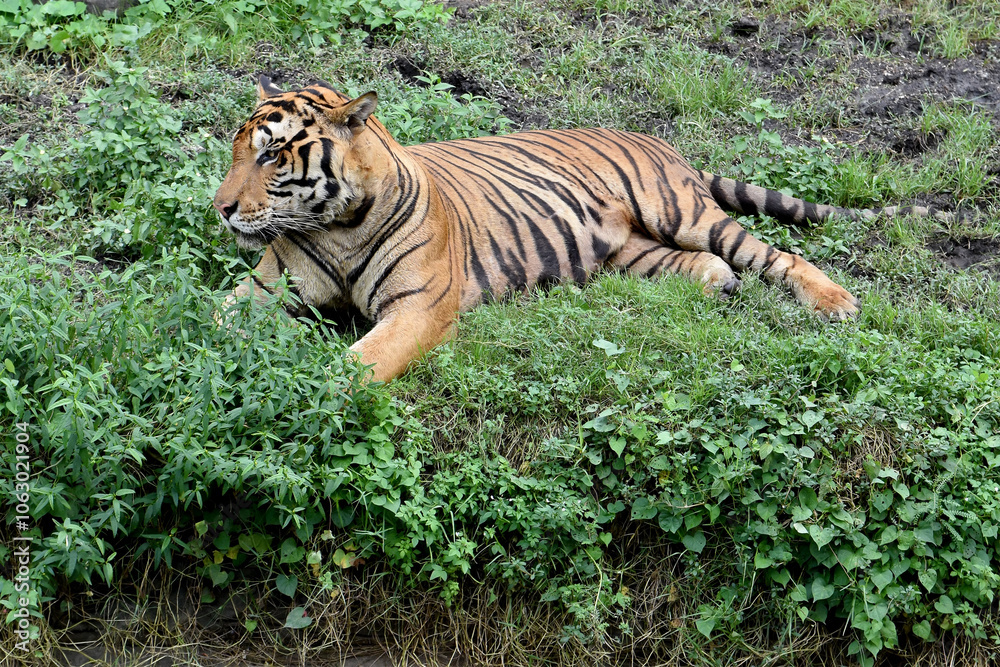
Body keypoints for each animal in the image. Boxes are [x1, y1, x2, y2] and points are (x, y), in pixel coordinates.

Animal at [213, 76, 945, 382]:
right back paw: (718, 285)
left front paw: (315, 396)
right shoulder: (269, 288)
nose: (220, 208)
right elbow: (216, 318)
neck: (336, 224)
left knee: (772, 253)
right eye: (236, 147)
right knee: (700, 266)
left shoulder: (420, 307)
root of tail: (664, 145)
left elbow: (362, 364)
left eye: (272, 156)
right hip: (631, 251)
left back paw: (836, 302)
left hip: (683, 214)